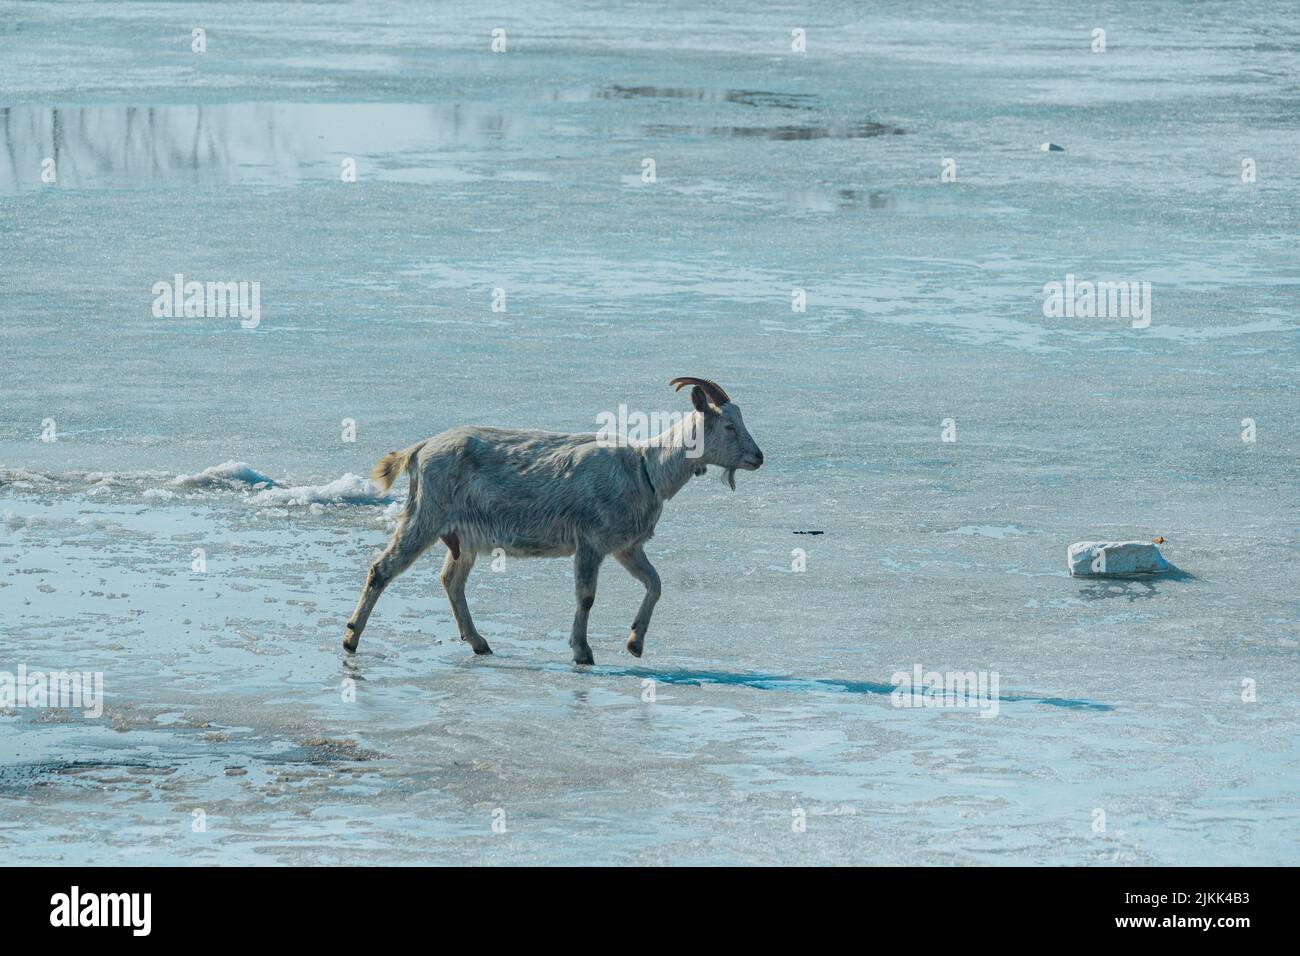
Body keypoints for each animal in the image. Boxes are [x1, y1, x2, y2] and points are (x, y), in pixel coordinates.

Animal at [343, 377, 764, 664]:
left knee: (451, 580)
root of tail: (418, 450)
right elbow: (587, 595)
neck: (646, 468)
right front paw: (583, 651)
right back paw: (351, 638)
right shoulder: (591, 540)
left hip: (464, 534)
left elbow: (656, 584)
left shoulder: (626, 546)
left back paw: (479, 642)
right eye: (729, 426)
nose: (758, 457)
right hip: (427, 515)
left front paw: (634, 643)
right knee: (382, 569)